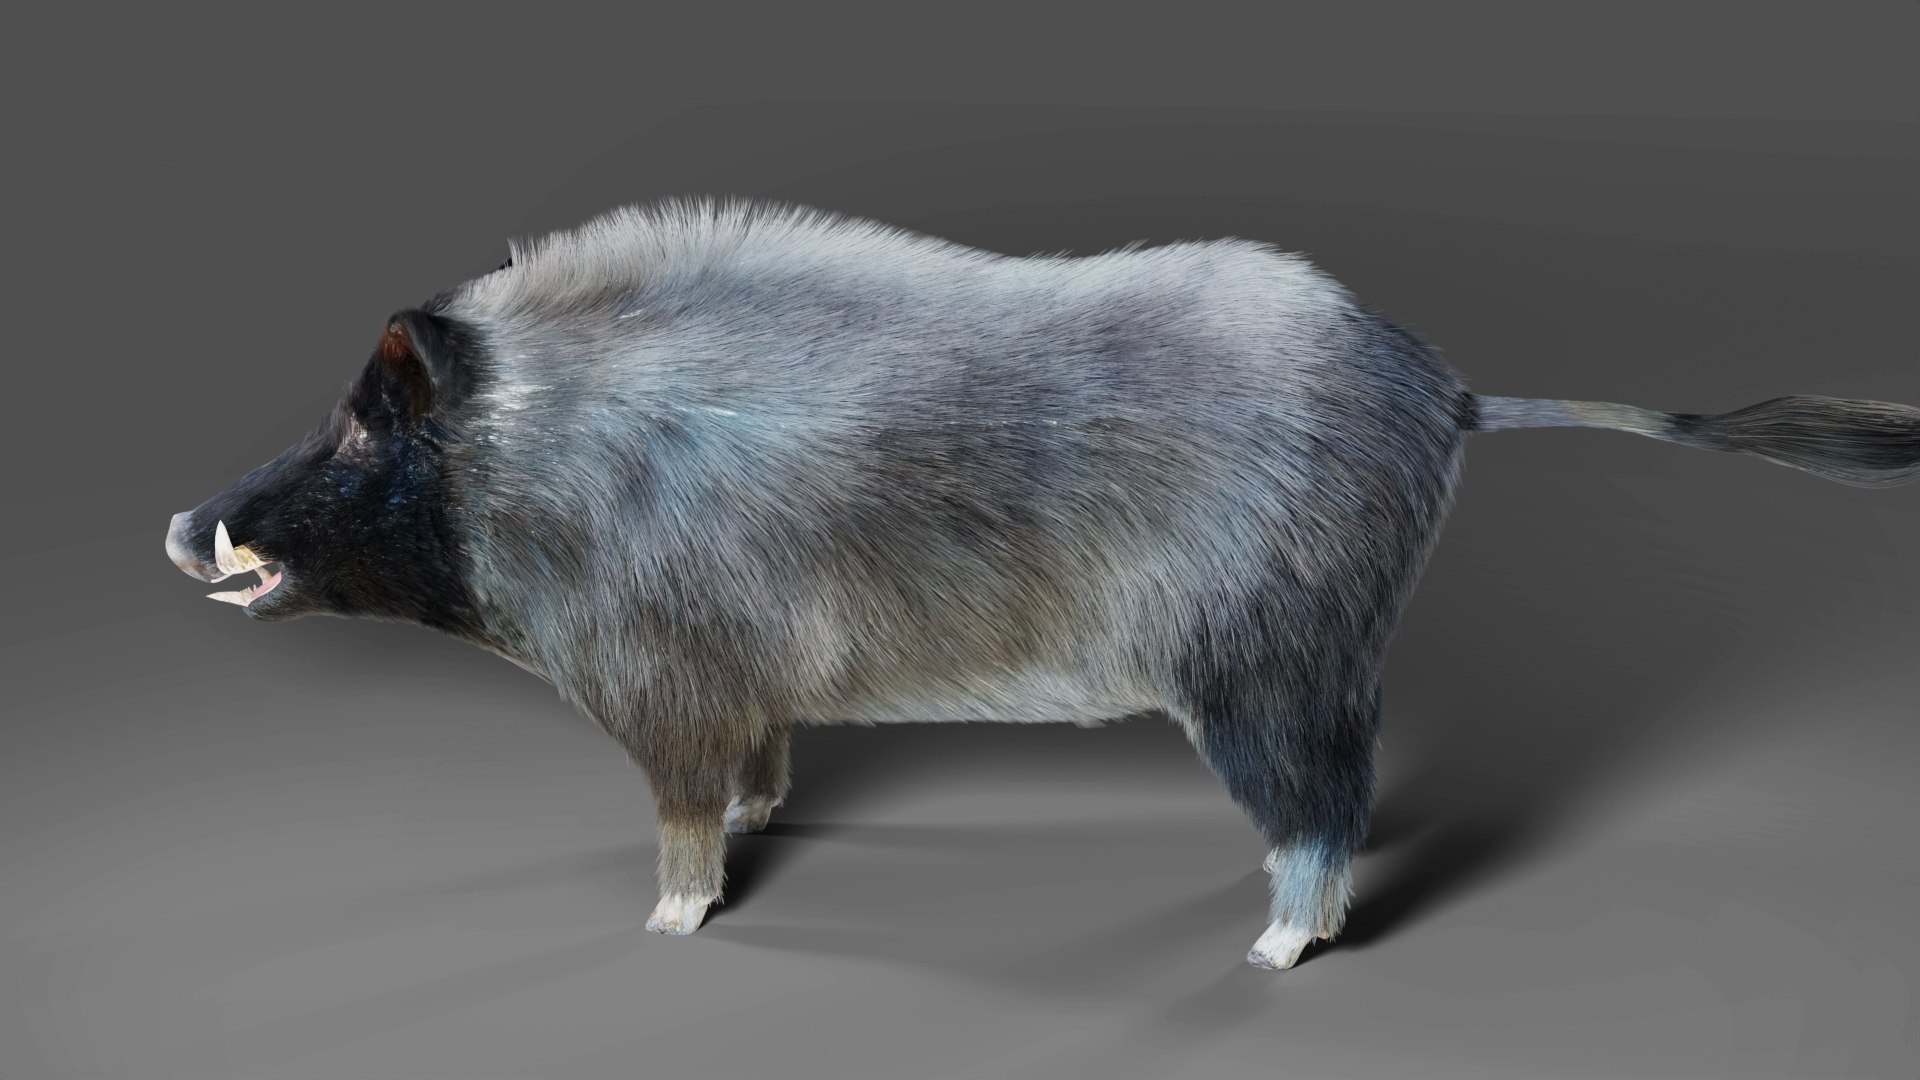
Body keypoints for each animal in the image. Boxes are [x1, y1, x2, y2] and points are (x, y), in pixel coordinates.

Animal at [164, 198, 1920, 969]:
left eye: (357, 427)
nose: (187, 522)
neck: (539, 463)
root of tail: (1448, 393)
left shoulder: (660, 681)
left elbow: (676, 820)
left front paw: (667, 927)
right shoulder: (745, 688)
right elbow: (756, 776)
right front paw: (756, 830)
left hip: (1264, 659)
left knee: (1322, 808)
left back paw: (1273, 955)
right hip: (1323, 656)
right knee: (1354, 785)